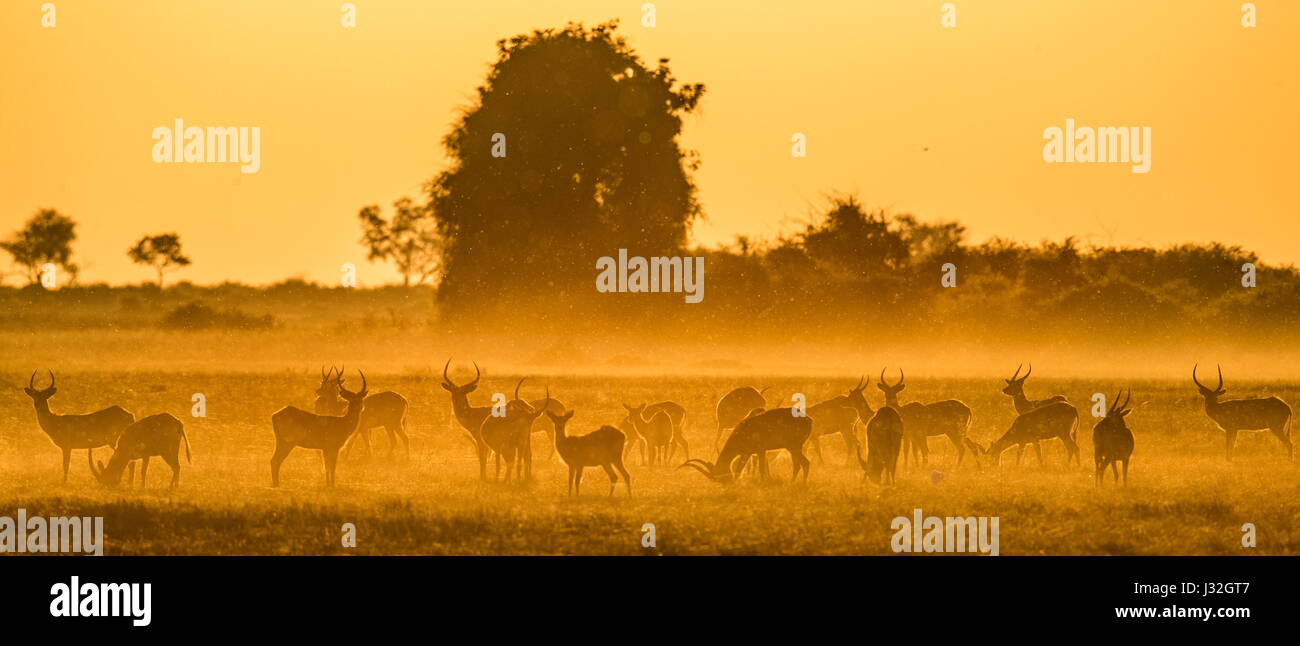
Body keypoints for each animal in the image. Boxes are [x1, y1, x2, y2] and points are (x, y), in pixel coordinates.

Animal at [680, 407, 811, 484]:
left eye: (718, 476)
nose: (728, 483)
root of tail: (809, 420)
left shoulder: (760, 450)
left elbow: (761, 469)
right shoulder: (746, 453)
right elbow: (739, 469)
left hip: (793, 446)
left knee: (805, 463)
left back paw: (800, 484)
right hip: (794, 447)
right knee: (798, 464)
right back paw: (792, 483)